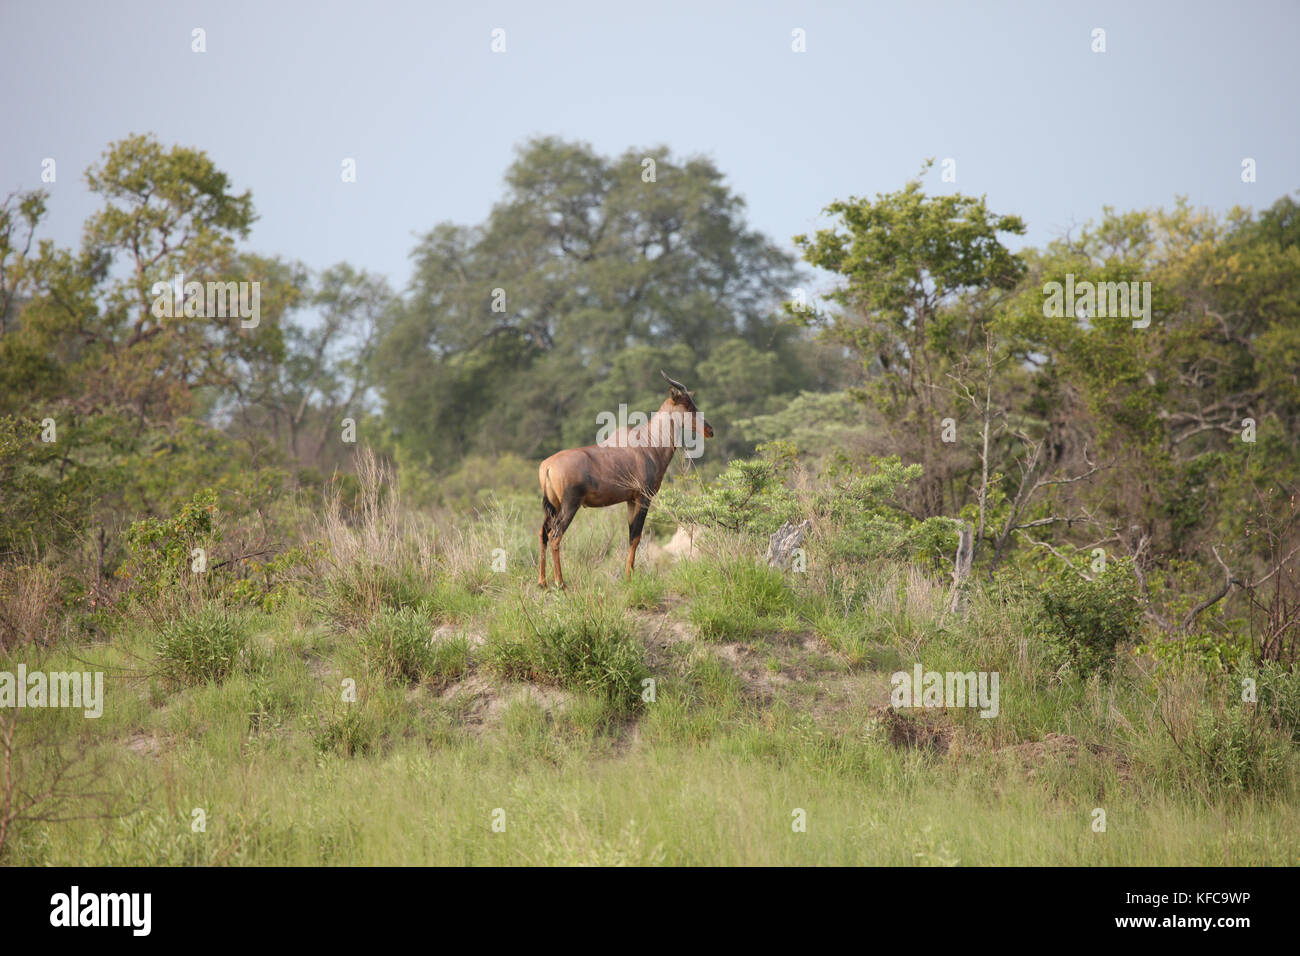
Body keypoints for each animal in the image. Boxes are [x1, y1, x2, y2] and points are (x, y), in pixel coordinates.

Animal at [537, 371, 713, 588]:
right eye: (687, 405)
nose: (710, 430)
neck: (648, 443)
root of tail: (548, 465)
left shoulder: (630, 500)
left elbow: (631, 536)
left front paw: (630, 575)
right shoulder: (644, 498)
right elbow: (636, 536)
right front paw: (630, 578)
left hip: (552, 506)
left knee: (543, 534)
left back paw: (542, 582)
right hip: (569, 505)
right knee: (555, 536)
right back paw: (560, 583)